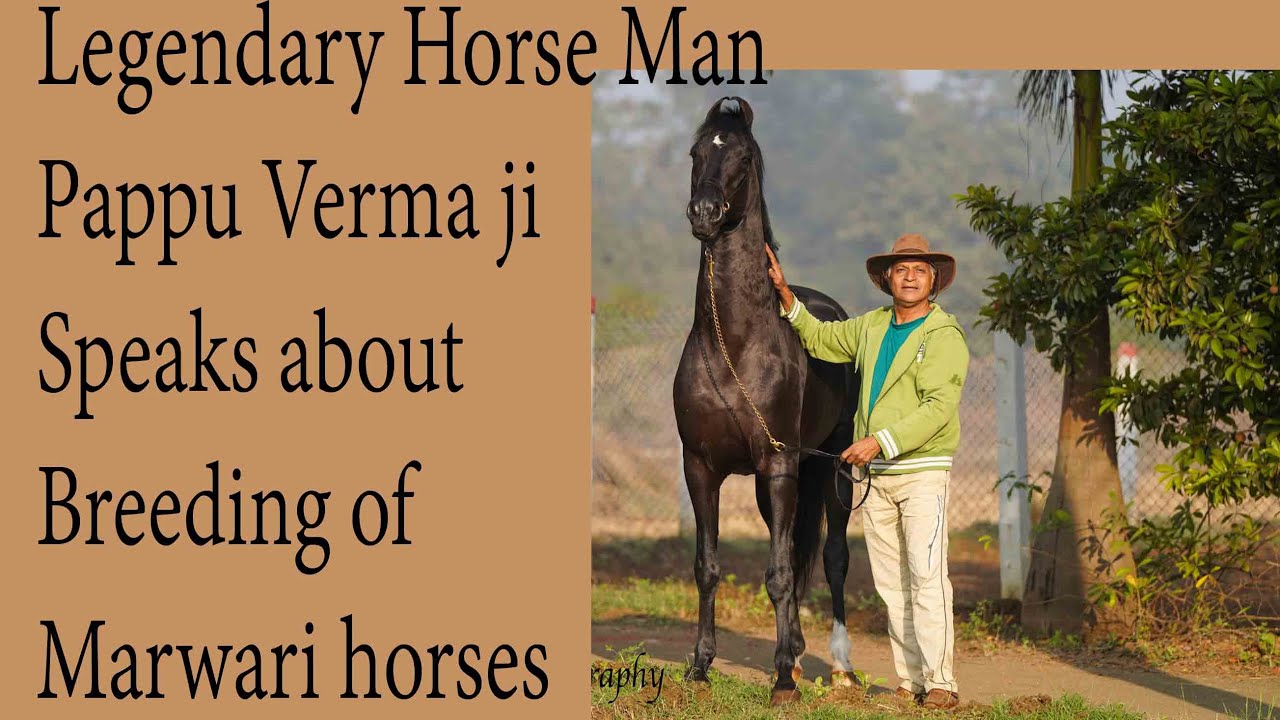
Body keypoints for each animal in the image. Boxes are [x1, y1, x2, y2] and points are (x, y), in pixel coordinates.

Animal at [672, 96, 860, 706]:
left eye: (743, 156)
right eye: (695, 151)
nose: (704, 213)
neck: (734, 343)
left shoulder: (779, 465)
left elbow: (778, 573)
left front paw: (779, 682)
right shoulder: (701, 468)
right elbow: (708, 566)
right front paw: (700, 668)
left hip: (833, 468)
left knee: (831, 557)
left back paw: (838, 667)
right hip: (772, 482)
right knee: (799, 550)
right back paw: (797, 653)